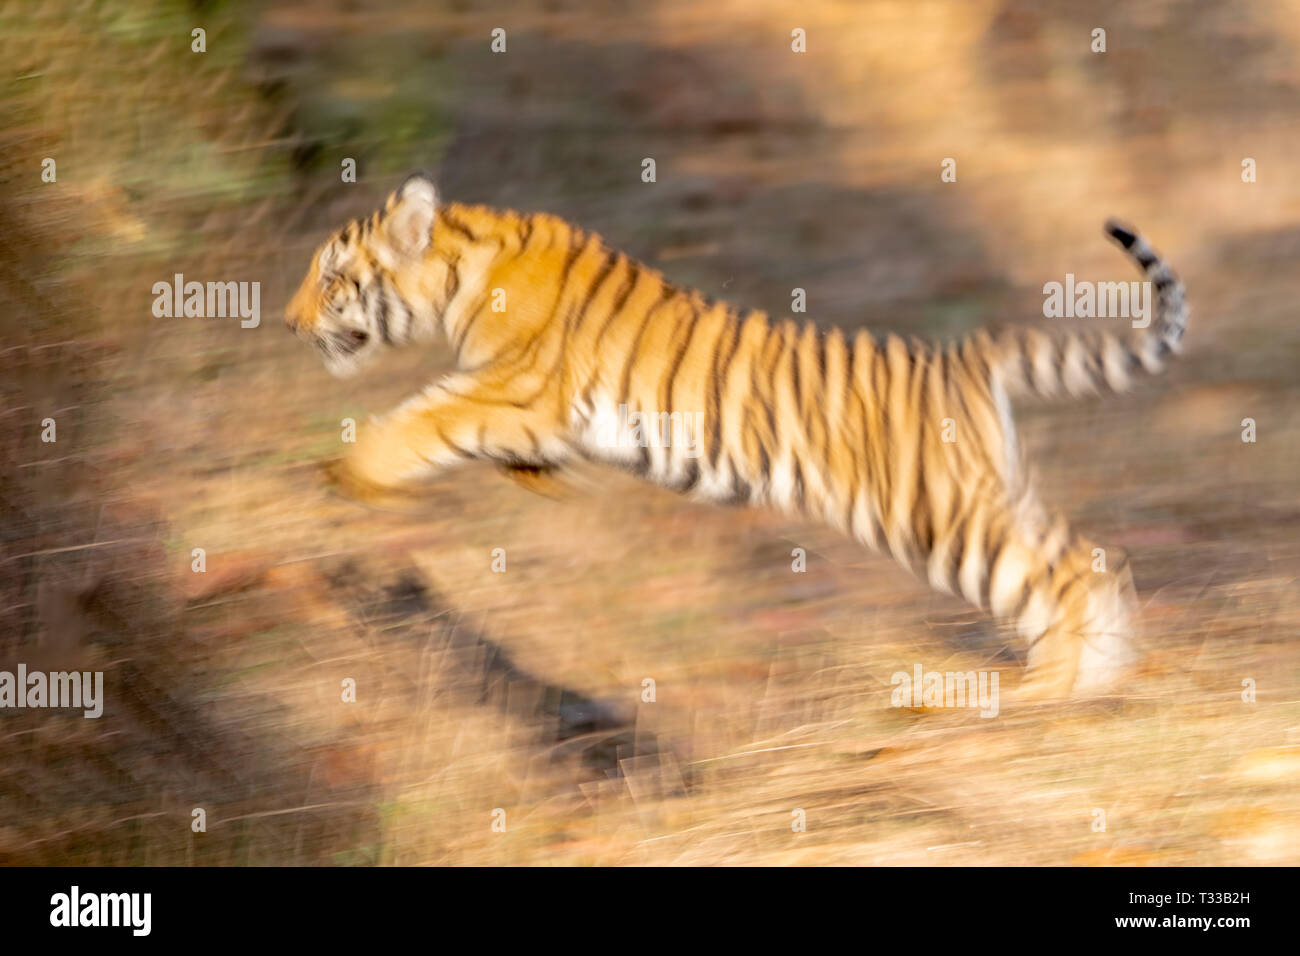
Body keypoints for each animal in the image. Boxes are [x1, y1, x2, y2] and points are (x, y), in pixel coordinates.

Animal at [284, 172, 1187, 699]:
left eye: (331, 278)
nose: (289, 323)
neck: (461, 272)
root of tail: (964, 353)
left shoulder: (515, 386)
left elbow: (421, 418)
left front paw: (352, 473)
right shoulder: (526, 405)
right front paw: (543, 479)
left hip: (939, 515)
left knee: (1059, 573)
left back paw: (1052, 690)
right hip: (991, 492)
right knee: (1093, 558)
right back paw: (1104, 674)